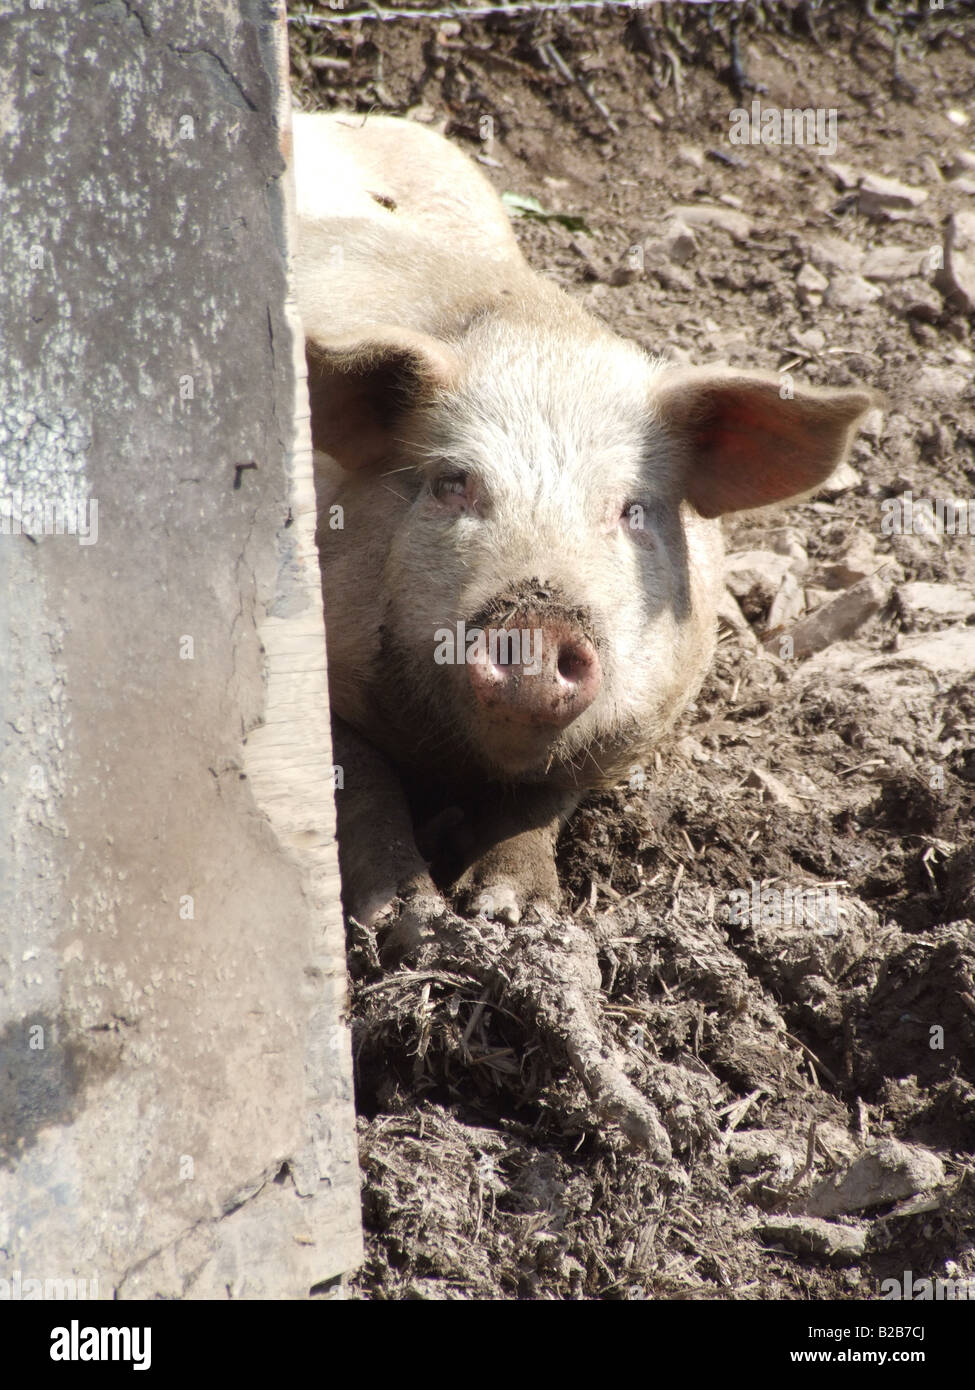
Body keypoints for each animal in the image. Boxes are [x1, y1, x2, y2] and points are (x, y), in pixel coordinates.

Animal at [293, 110, 873, 930]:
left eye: (631, 508)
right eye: (451, 483)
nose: (535, 630)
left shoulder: (630, 729)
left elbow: (540, 803)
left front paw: (512, 912)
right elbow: (363, 786)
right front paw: (410, 919)